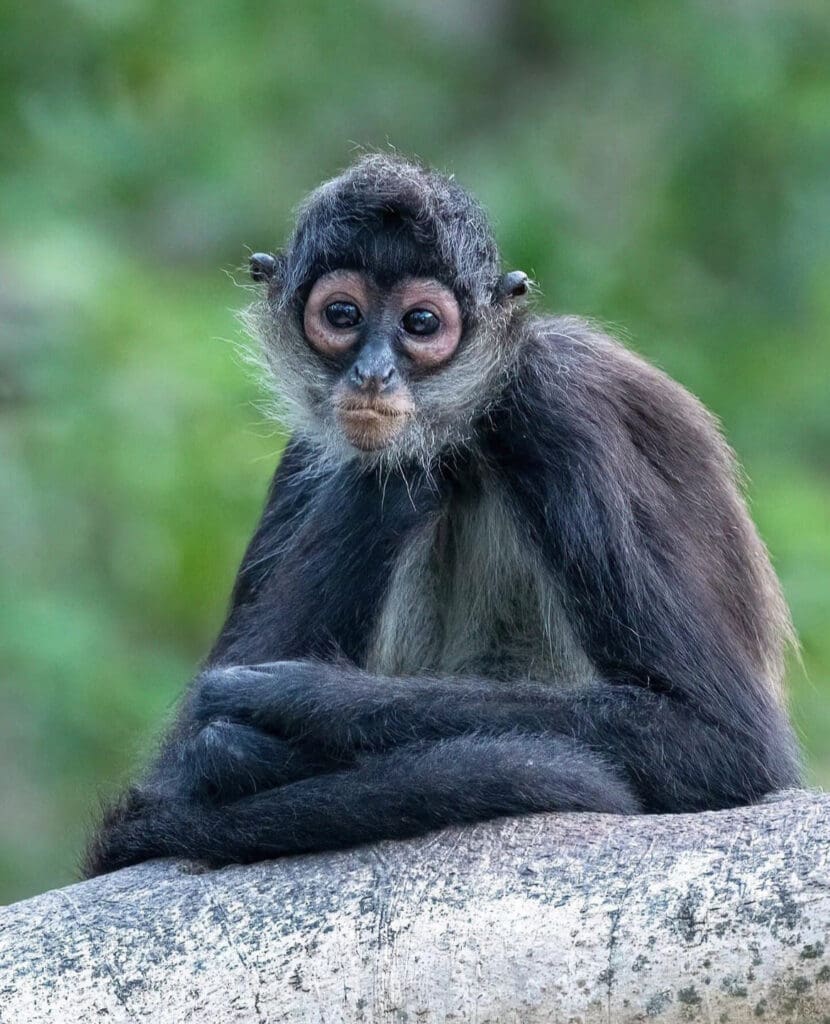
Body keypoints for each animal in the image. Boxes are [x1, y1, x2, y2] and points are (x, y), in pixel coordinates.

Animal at [84, 154, 801, 876]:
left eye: (422, 324)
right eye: (341, 314)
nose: (374, 375)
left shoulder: (557, 400)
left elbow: (720, 738)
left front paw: (304, 701)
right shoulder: (305, 451)